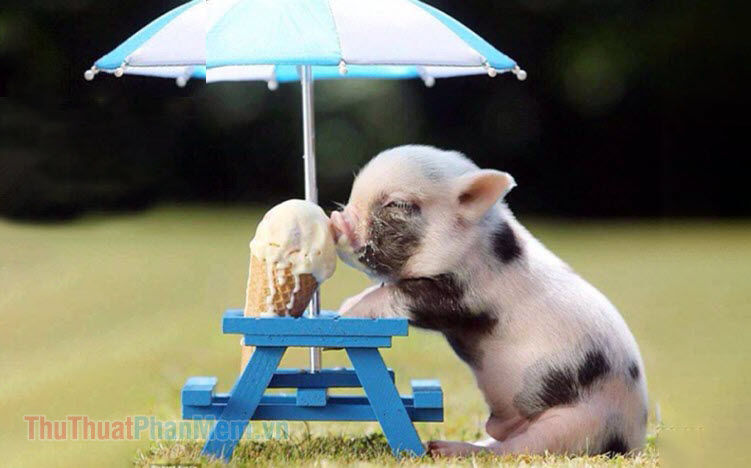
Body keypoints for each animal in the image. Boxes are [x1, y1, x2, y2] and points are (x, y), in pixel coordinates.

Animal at [329, 145, 648, 457]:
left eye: (397, 204)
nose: (336, 220)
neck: (473, 245)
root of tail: (634, 439)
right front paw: (344, 306)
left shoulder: (463, 296)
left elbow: (400, 294)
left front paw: (345, 314)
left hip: (575, 424)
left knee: (515, 450)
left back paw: (443, 449)